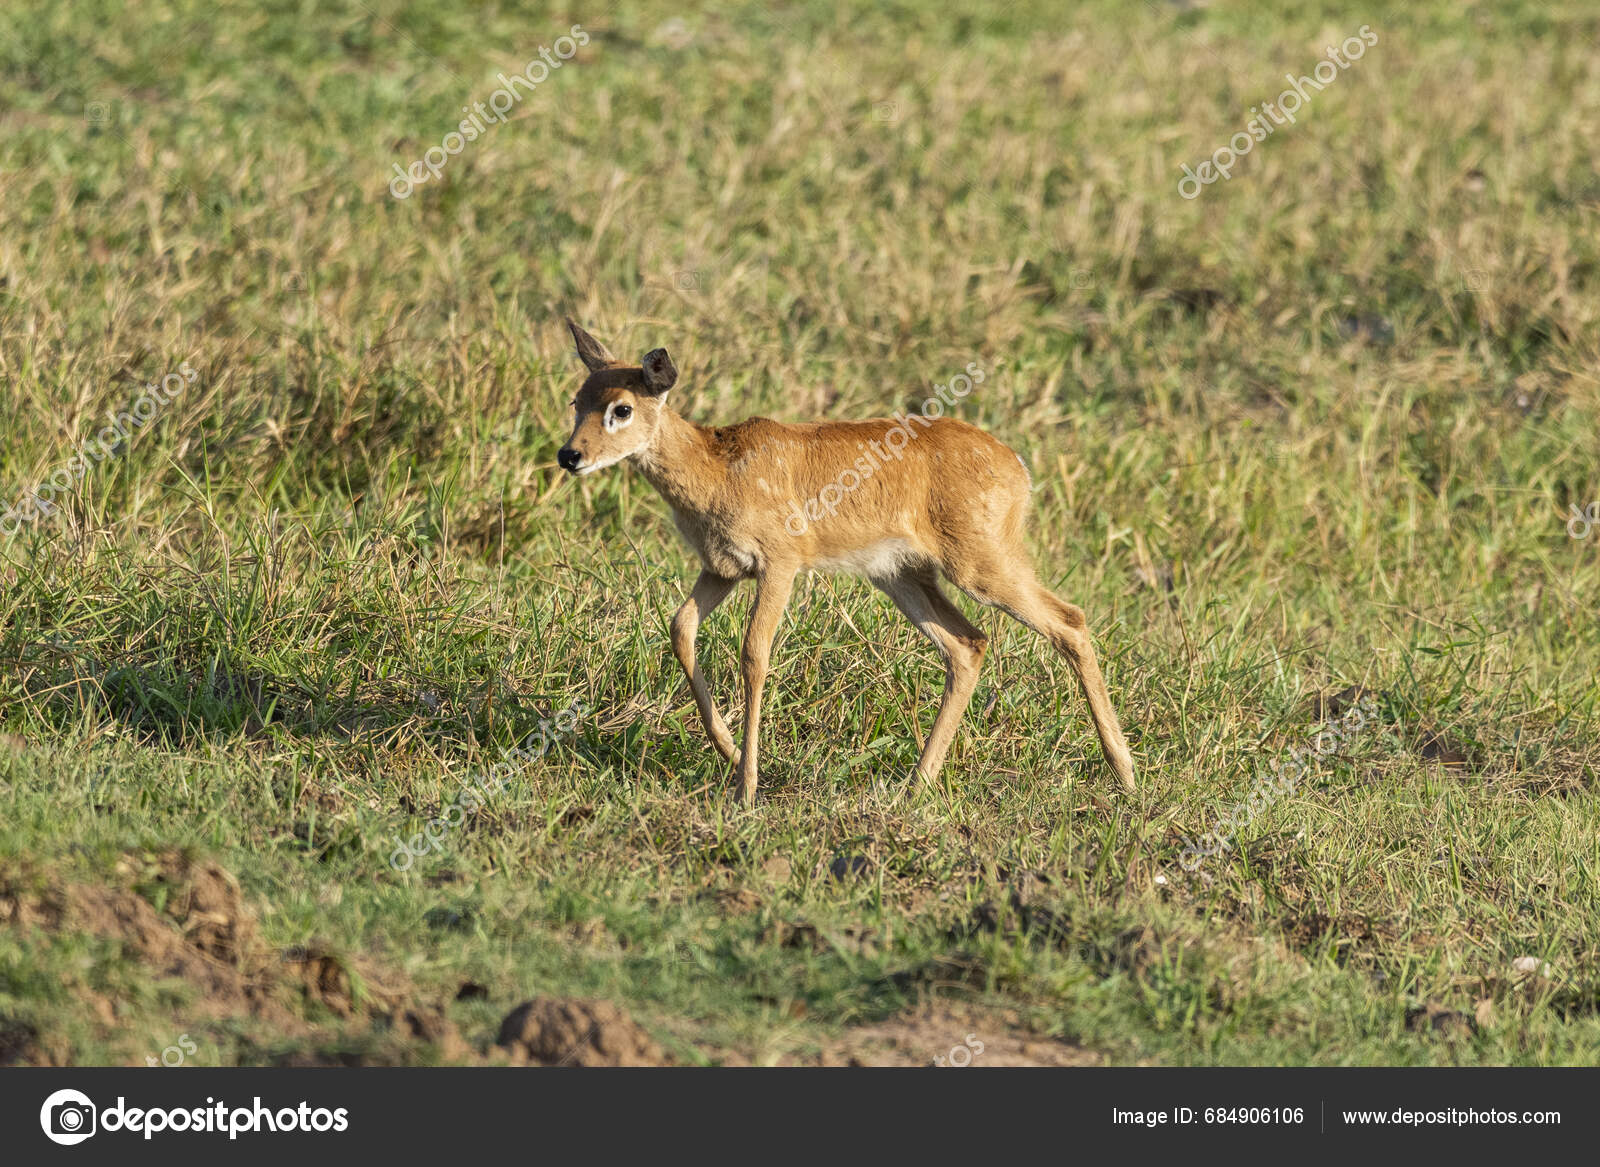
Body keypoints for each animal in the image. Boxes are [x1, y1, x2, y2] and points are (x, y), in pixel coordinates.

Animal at [556, 318, 1137, 806]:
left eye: (622, 408)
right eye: (576, 400)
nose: (570, 455)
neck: (717, 465)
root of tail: (1015, 464)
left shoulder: (779, 566)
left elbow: (753, 654)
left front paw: (747, 786)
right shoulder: (721, 569)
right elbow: (680, 629)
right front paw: (730, 753)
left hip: (980, 567)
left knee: (1070, 621)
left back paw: (1125, 776)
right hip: (903, 578)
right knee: (968, 646)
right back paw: (916, 786)